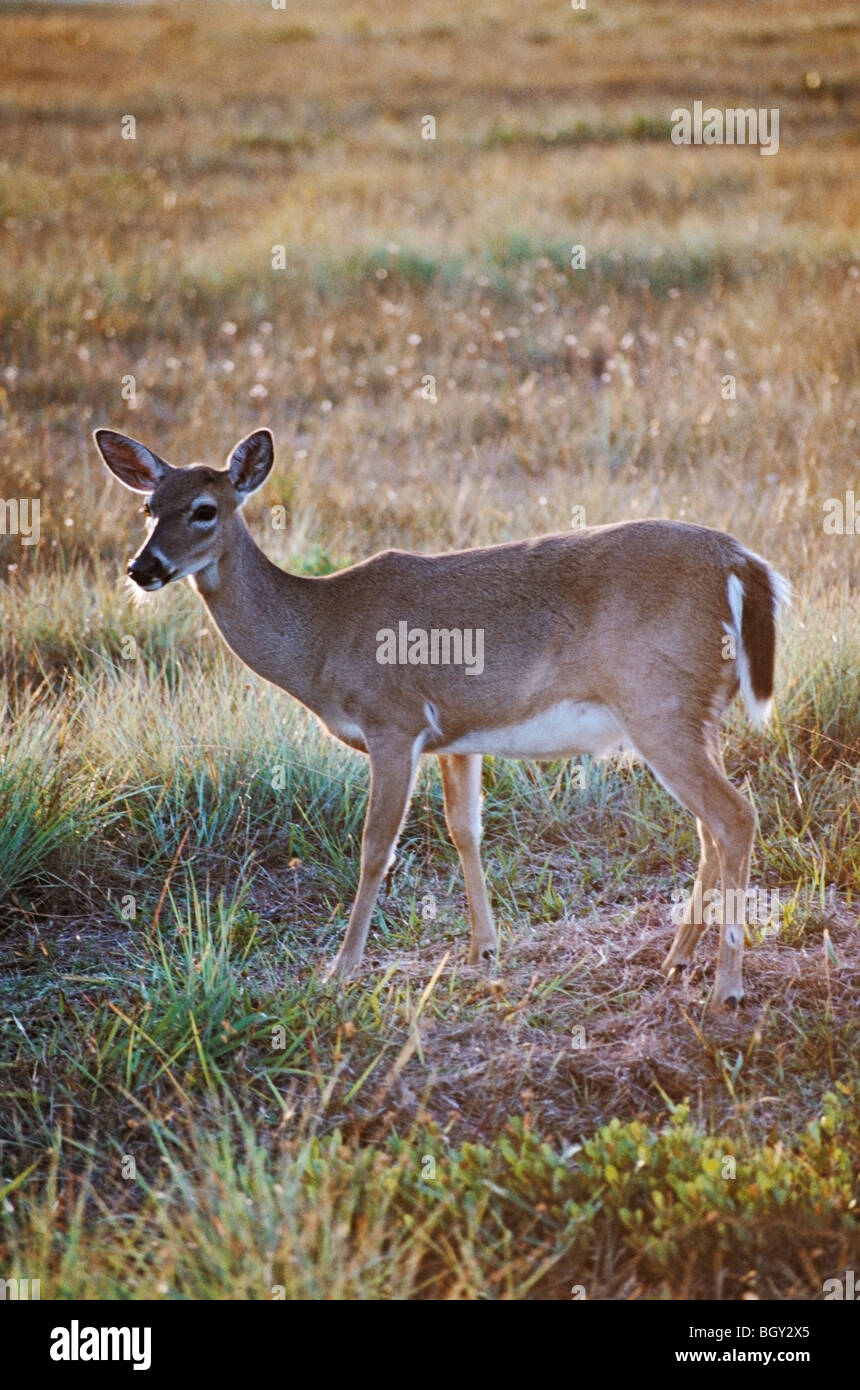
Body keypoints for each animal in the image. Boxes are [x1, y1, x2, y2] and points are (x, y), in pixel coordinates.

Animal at [94, 427, 790, 1010]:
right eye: (149, 509)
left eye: (204, 510)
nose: (142, 568)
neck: (321, 636)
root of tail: (741, 561)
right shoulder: (456, 736)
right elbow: (465, 831)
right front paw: (485, 948)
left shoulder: (393, 722)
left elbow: (376, 846)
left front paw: (342, 967)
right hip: (692, 713)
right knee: (709, 826)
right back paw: (677, 958)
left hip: (657, 704)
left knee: (734, 815)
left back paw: (726, 986)